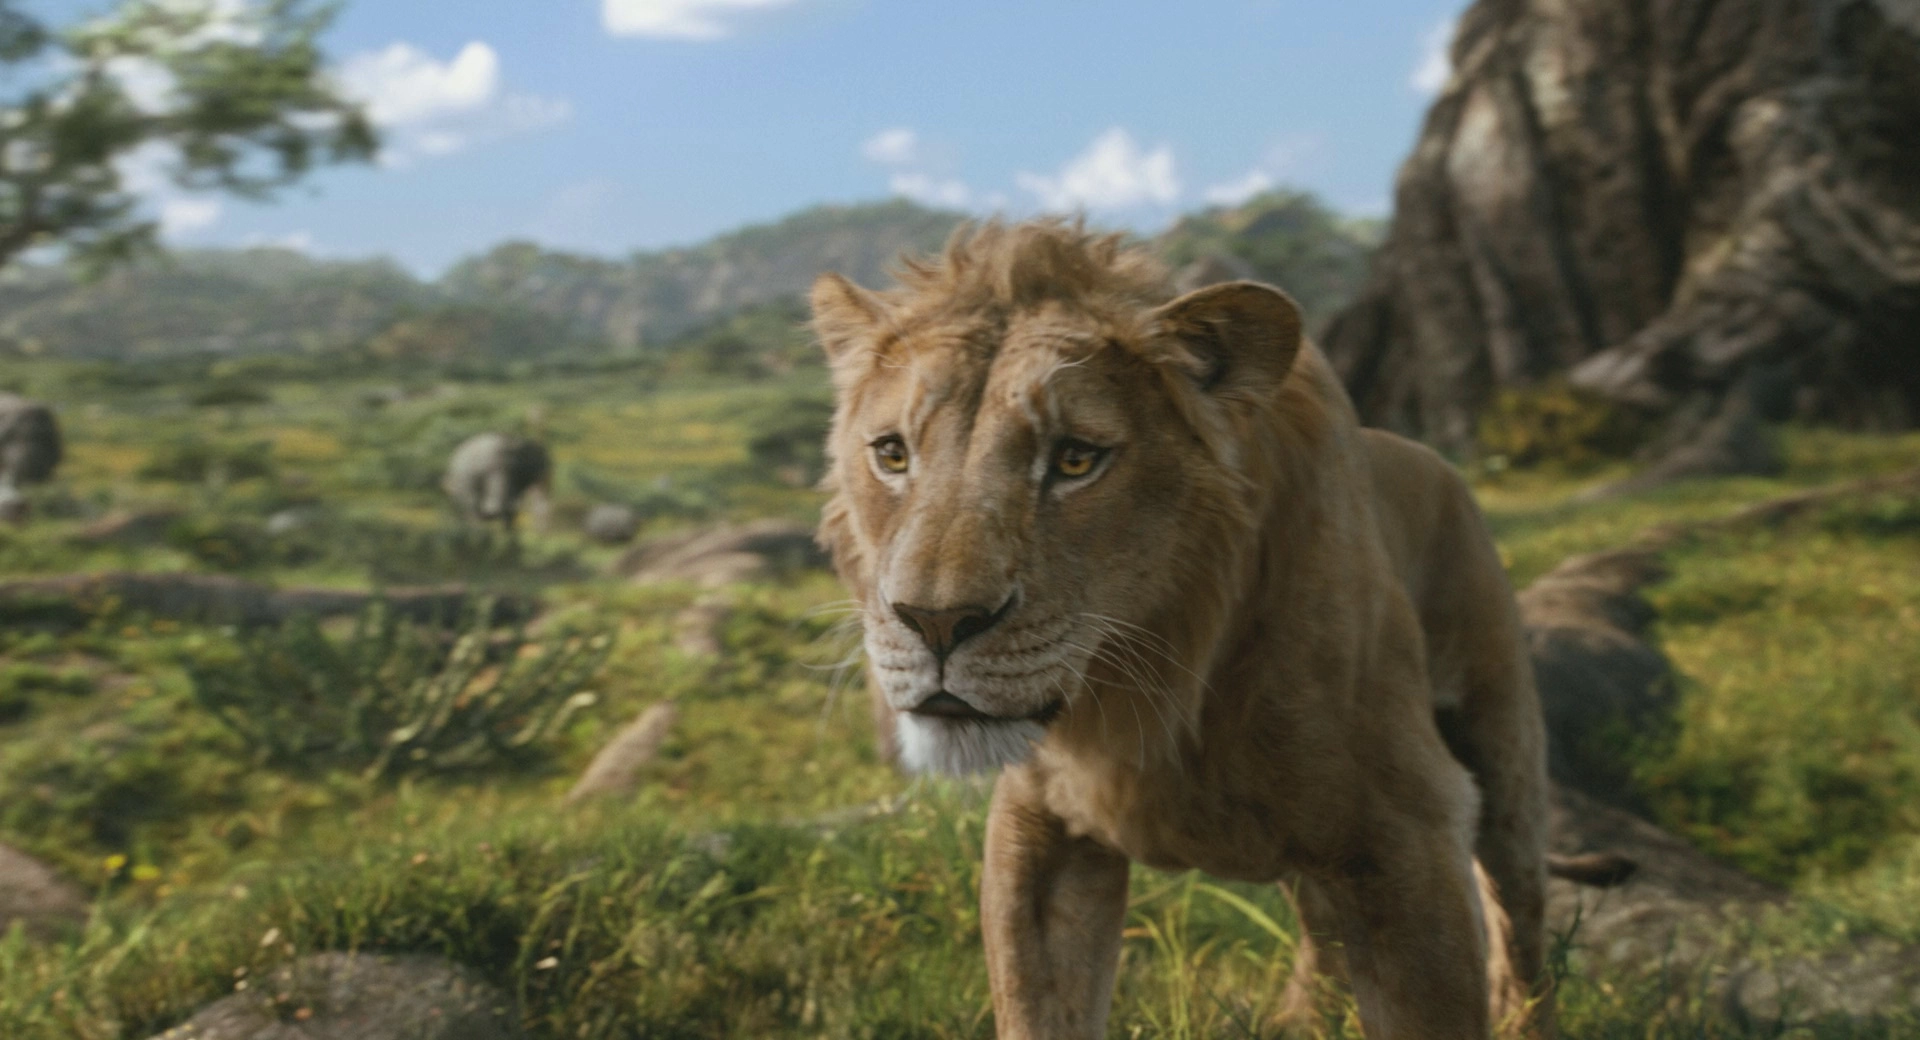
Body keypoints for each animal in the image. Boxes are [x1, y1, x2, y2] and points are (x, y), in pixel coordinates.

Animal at [811, 221, 1551, 1039]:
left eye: (1076, 459)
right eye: (892, 454)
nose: (935, 621)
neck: (1148, 681)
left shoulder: (1409, 836)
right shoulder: (1038, 829)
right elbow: (1037, 1005)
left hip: (1500, 760)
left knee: (1521, 920)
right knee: (1322, 921)